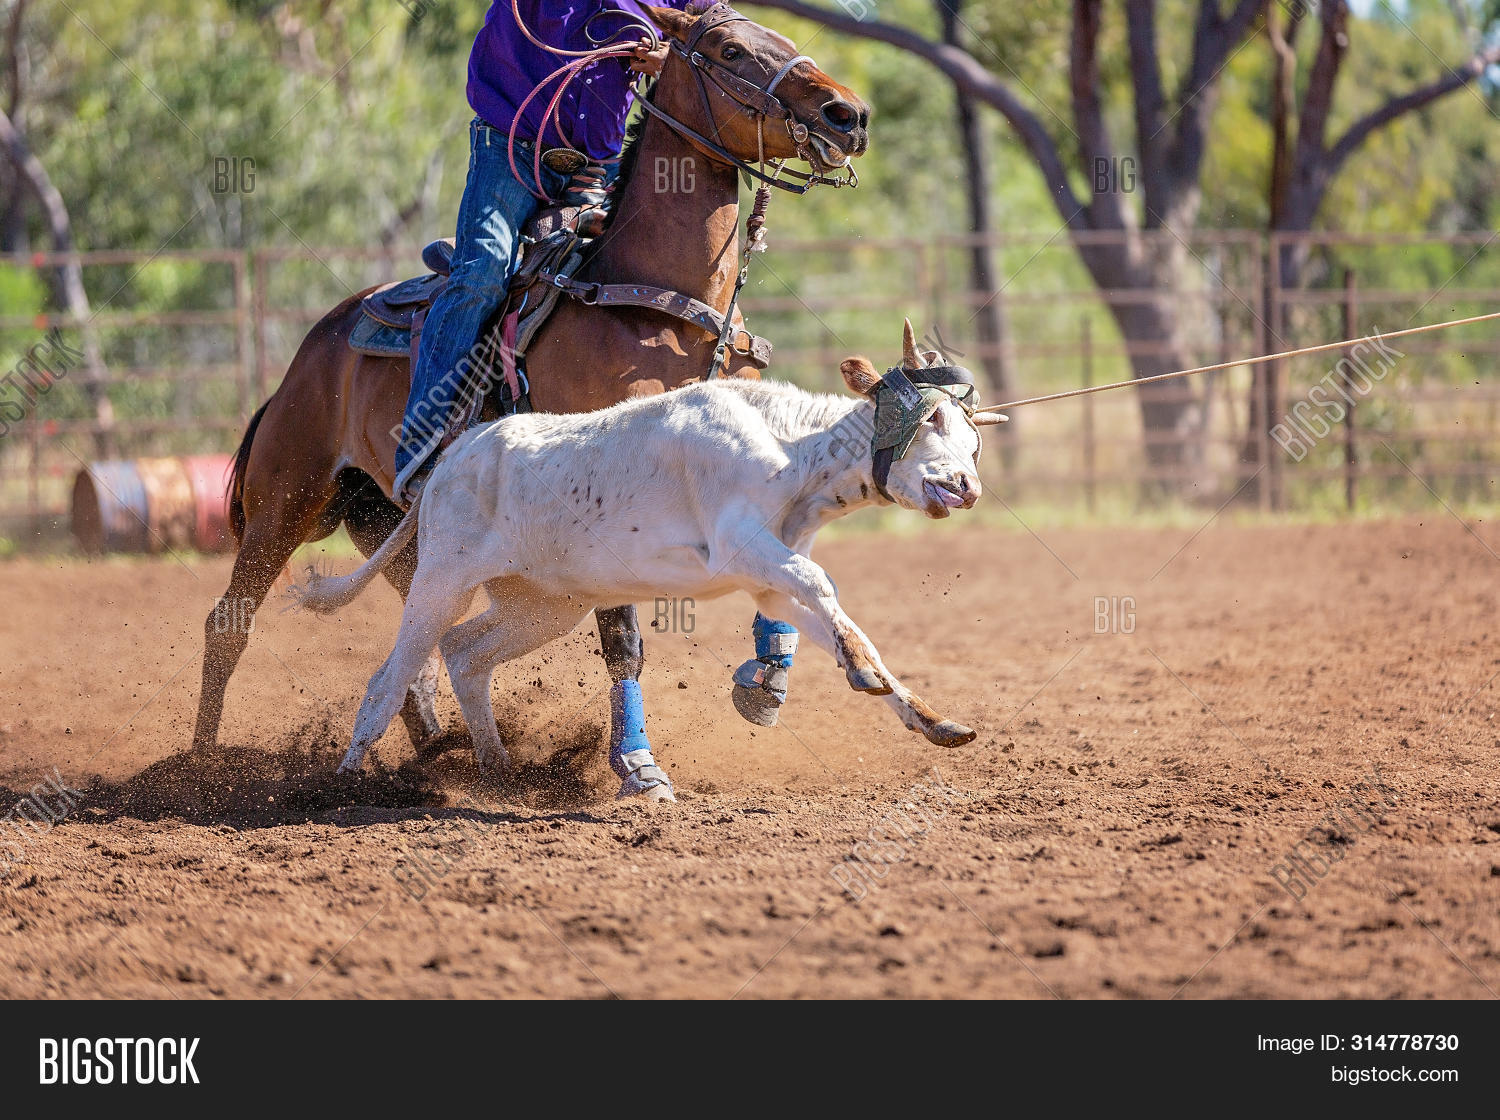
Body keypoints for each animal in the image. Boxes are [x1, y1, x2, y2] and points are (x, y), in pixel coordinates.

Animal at [294, 321, 1007, 801]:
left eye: (973, 441)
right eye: (930, 417)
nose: (965, 486)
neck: (790, 449)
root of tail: (451, 460)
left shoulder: (768, 576)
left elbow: (822, 612)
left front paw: (930, 718)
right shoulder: (742, 543)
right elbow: (821, 582)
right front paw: (863, 673)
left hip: (543, 604)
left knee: (467, 655)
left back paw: (498, 769)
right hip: (442, 578)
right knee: (389, 679)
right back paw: (342, 786)